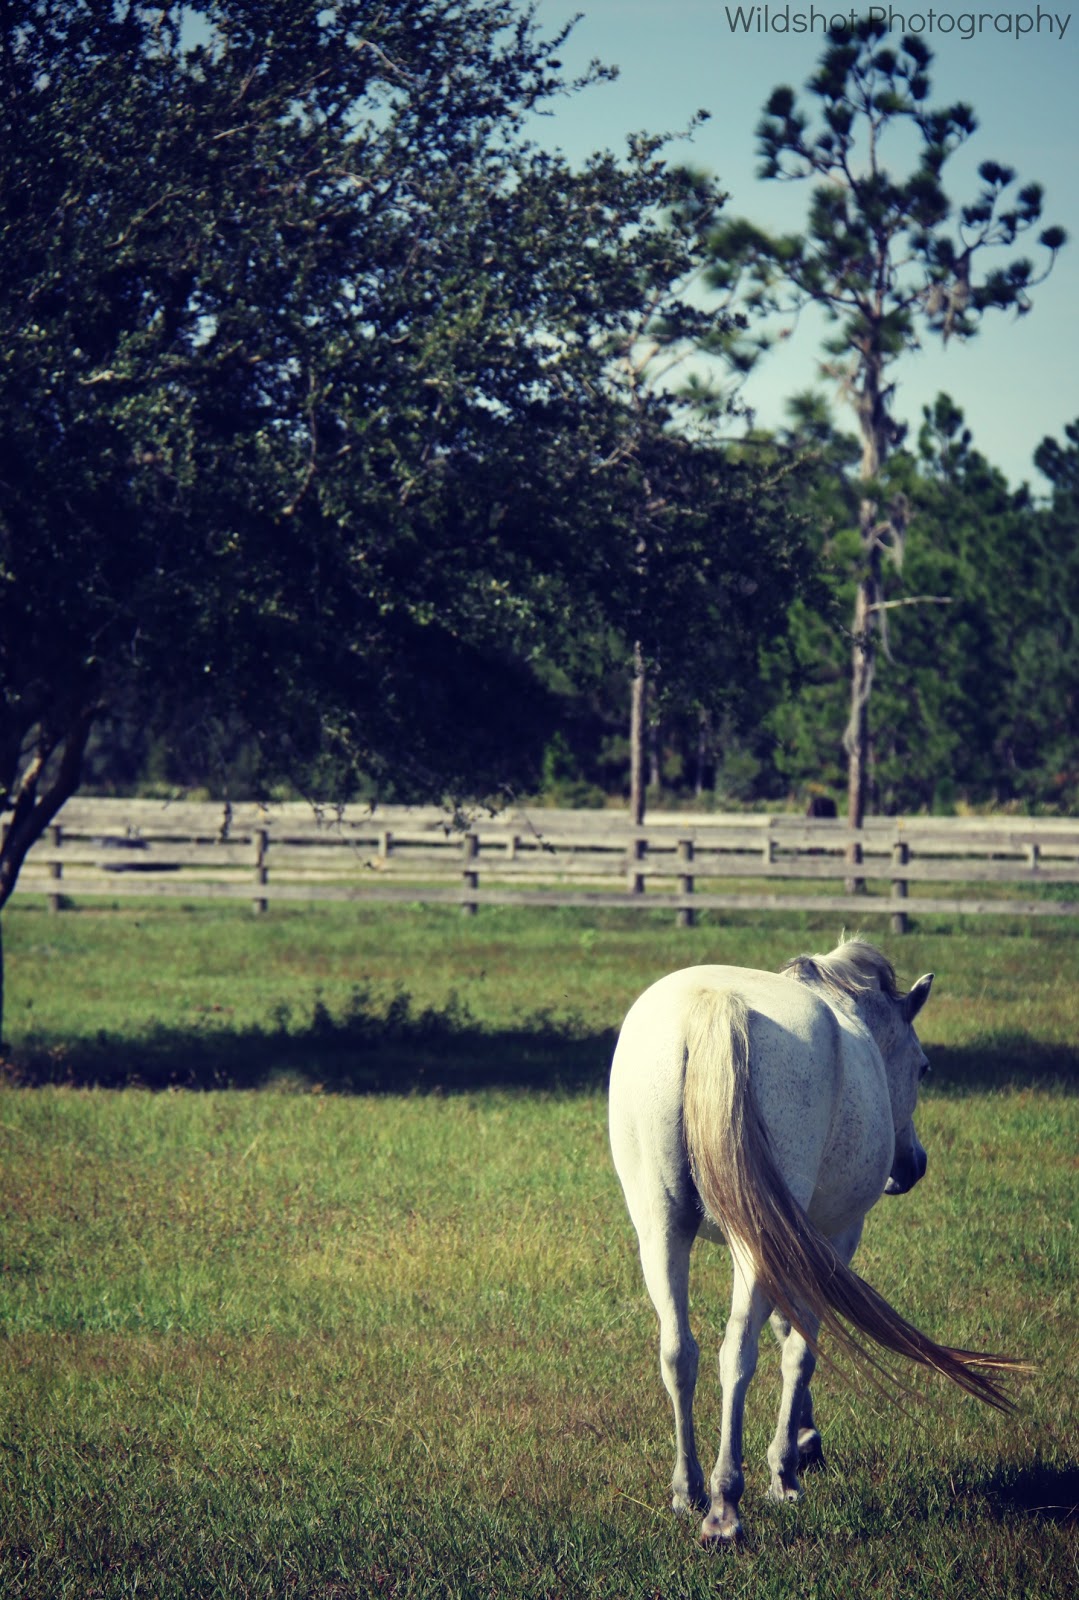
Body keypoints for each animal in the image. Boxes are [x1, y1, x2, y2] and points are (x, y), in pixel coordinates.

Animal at [608, 938, 1025, 1544]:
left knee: (679, 1352)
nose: (912, 1166)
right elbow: (800, 1348)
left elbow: (785, 1330)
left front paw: (800, 1441)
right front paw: (790, 1462)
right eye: (923, 1068)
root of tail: (715, 1005)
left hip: (661, 1230)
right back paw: (725, 1506)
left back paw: (689, 1491)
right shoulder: (830, 1239)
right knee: (736, 1354)